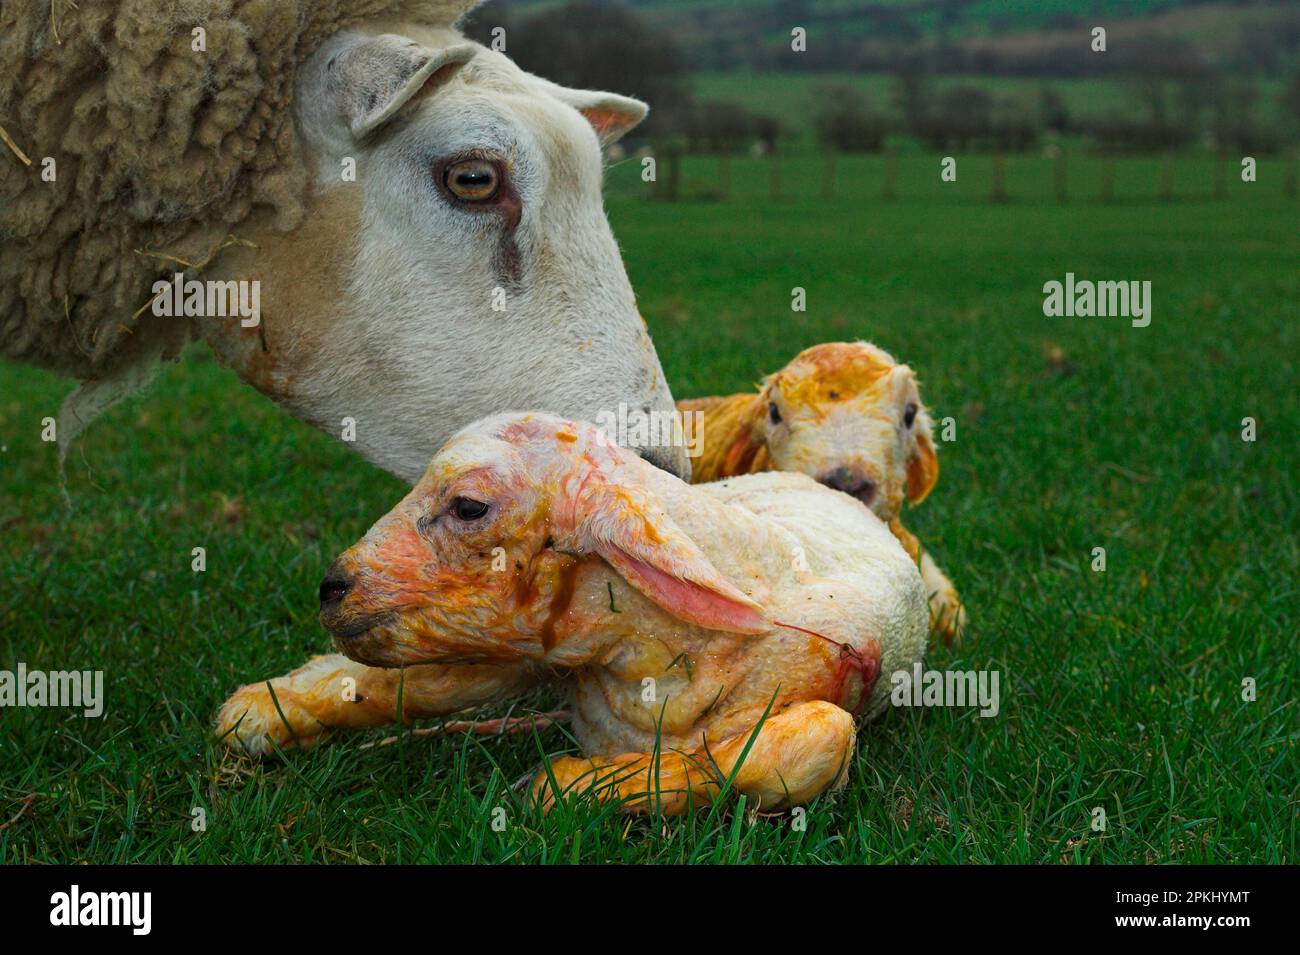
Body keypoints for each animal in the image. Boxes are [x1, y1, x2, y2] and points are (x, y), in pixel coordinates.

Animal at [216, 412, 931, 813]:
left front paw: (562, 786)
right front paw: (257, 714)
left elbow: (811, 742)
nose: (332, 587)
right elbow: (403, 684)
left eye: (469, 506)